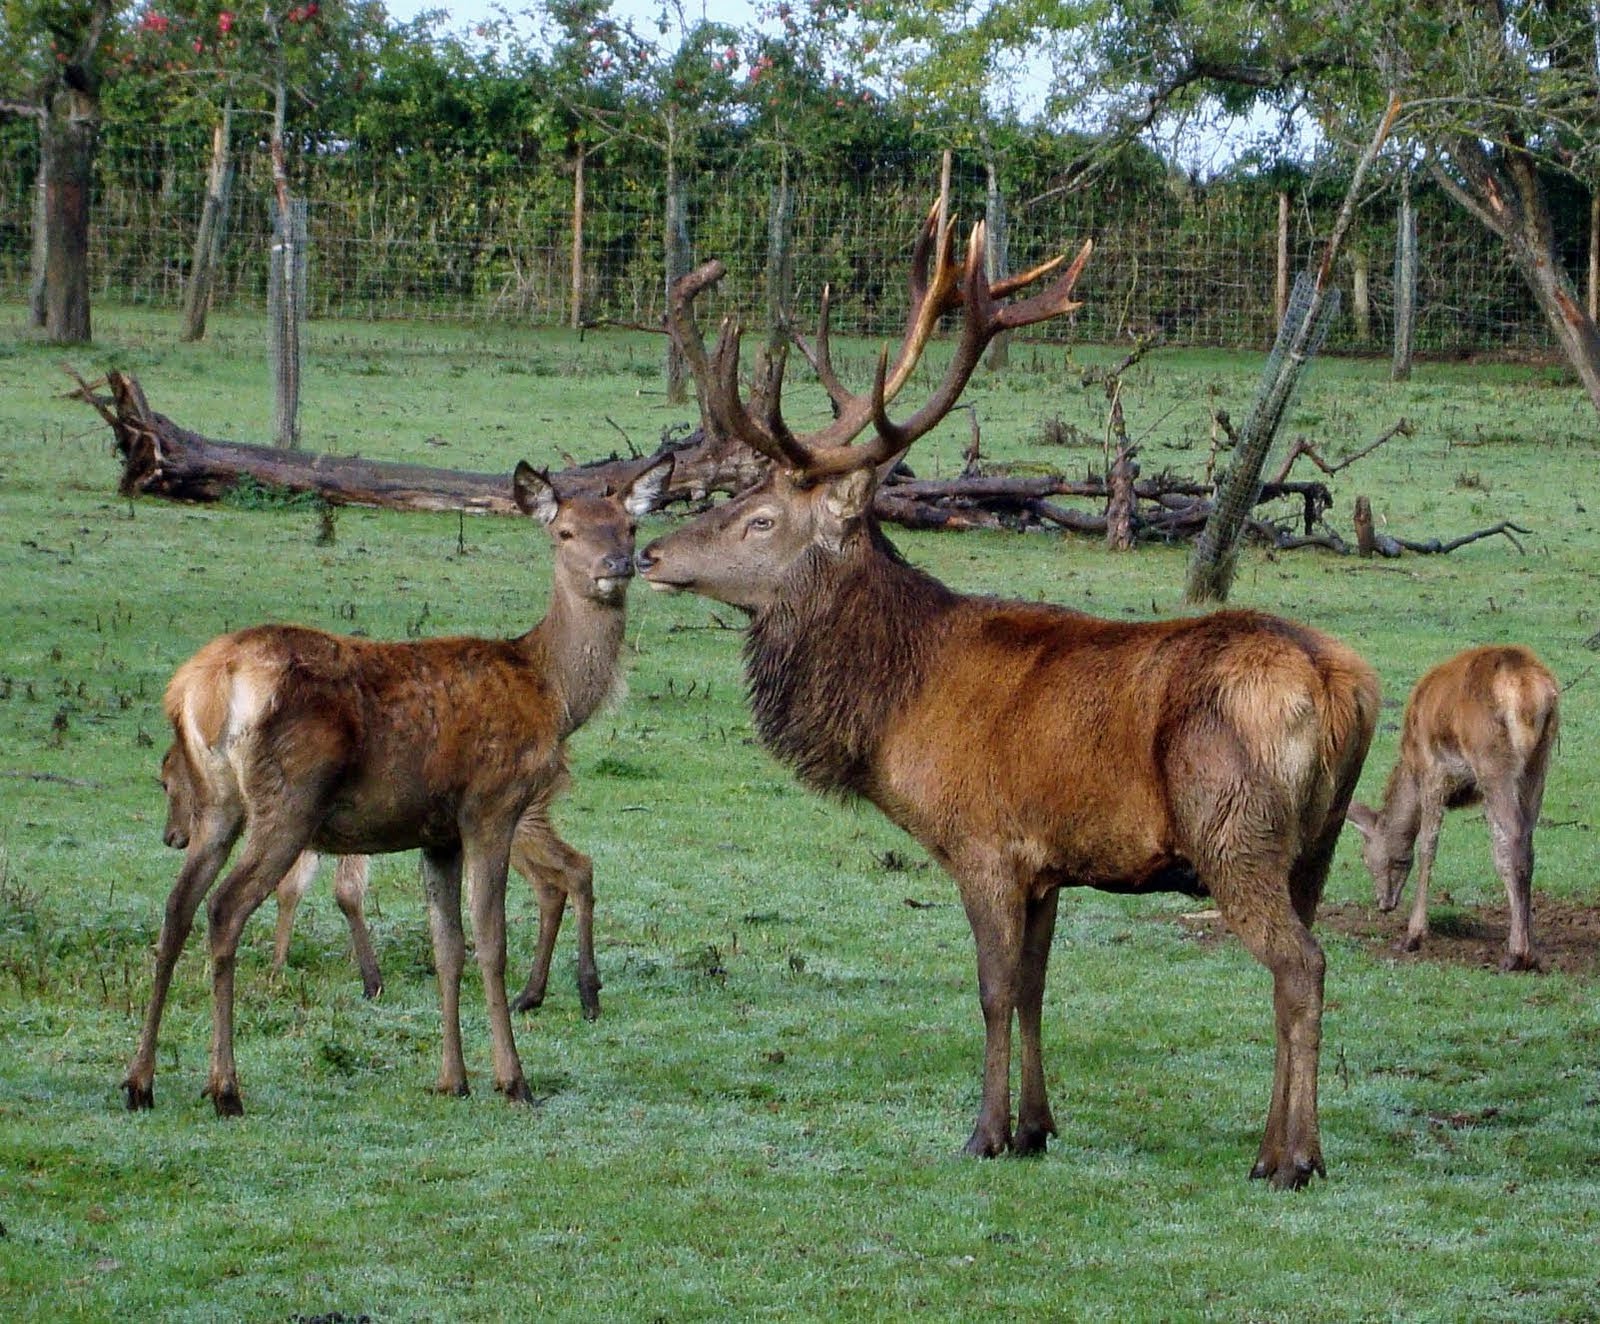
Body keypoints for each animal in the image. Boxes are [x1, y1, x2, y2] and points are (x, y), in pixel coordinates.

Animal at [124, 453, 672, 1115]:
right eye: (564, 533)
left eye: (630, 527)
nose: (616, 566)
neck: (552, 695)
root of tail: (203, 685)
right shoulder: (491, 804)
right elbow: (490, 941)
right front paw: (512, 1079)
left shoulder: (438, 833)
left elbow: (447, 948)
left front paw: (451, 1079)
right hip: (288, 801)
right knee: (224, 909)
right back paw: (225, 1087)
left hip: (216, 805)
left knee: (176, 908)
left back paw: (140, 1081)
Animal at [636, 207, 1379, 1189]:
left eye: (761, 519)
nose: (647, 554)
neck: (894, 707)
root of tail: (1340, 685)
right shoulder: (1048, 861)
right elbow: (1034, 989)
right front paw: (1037, 1126)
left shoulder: (982, 841)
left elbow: (992, 991)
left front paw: (983, 1132)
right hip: (1316, 844)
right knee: (1296, 964)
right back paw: (1276, 1148)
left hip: (1234, 829)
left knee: (1301, 967)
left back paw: (1294, 1159)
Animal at [1345, 644, 1559, 972]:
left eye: (1365, 857)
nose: (1383, 904)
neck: (1410, 764)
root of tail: (1531, 691)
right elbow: (1496, 851)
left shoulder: (1434, 771)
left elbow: (1427, 847)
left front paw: (1414, 935)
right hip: (1538, 763)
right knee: (1526, 840)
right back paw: (1528, 951)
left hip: (1491, 758)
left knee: (1516, 838)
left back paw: (1516, 955)